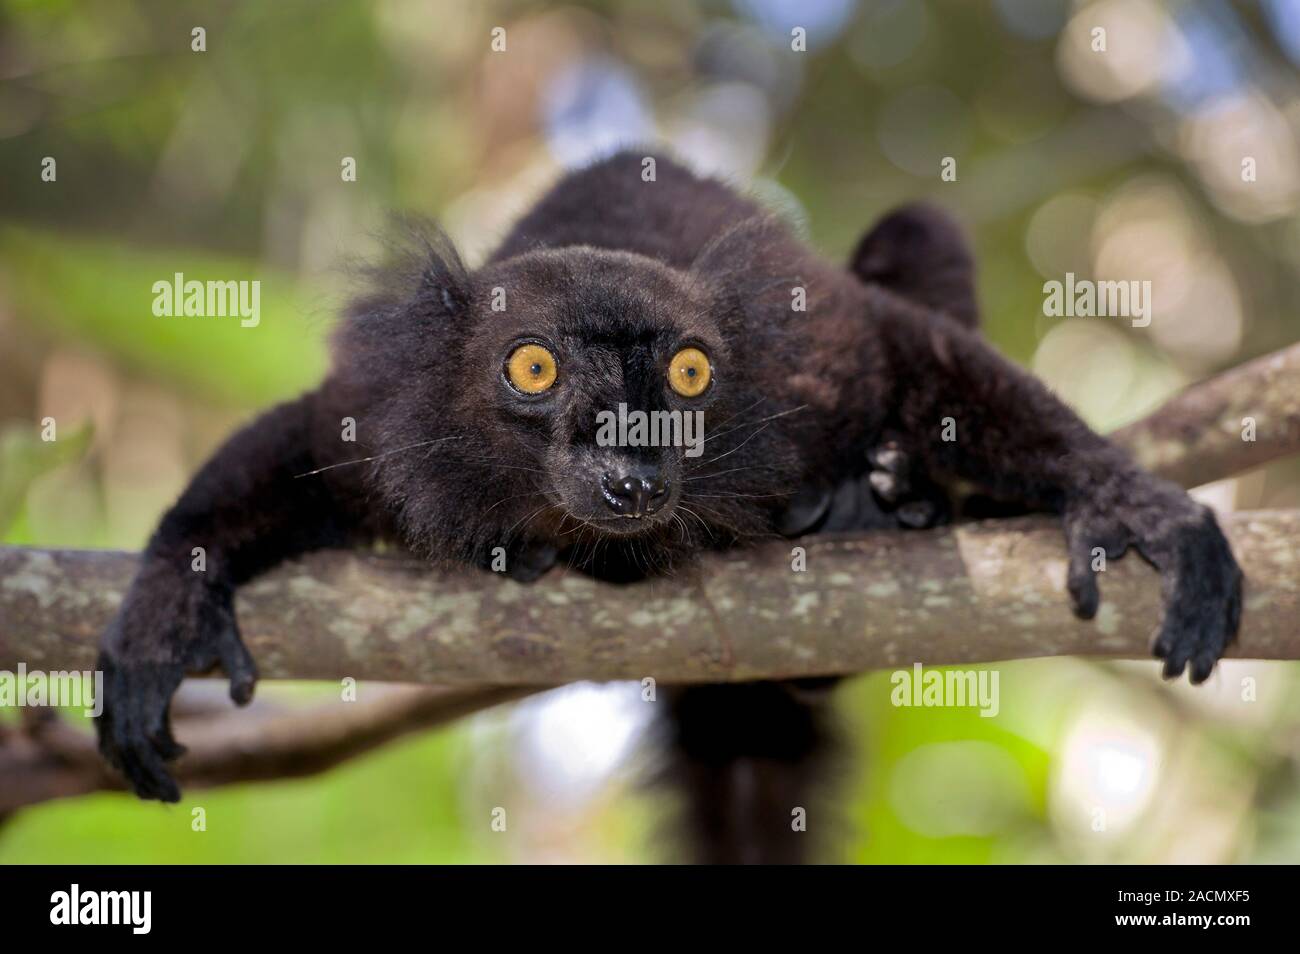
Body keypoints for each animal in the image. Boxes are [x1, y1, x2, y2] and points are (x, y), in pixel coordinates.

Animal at [94, 150, 1243, 864]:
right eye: (533, 366)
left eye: (691, 373)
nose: (634, 472)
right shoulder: (382, 419)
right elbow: (290, 444)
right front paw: (163, 610)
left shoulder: (810, 361)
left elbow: (916, 348)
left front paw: (1129, 502)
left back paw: (884, 499)